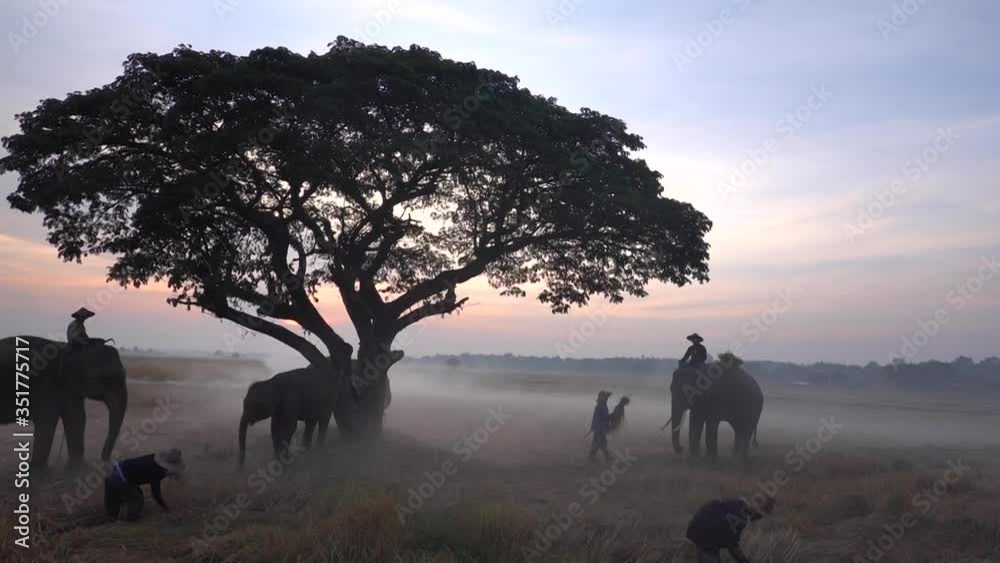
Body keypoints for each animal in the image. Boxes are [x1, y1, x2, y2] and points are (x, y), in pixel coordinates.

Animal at [1, 336, 128, 471]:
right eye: (107, 377)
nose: (107, 461)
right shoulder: (47, 385)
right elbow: (47, 420)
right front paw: (39, 471)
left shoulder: (69, 387)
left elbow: (76, 418)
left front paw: (76, 468)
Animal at [238, 351, 402, 468]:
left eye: (253, 405)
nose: (241, 468)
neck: (271, 381)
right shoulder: (281, 405)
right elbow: (275, 427)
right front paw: (276, 459)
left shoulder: (290, 399)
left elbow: (288, 427)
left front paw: (283, 462)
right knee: (312, 422)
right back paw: (308, 451)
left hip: (329, 398)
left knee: (322, 420)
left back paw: (318, 450)